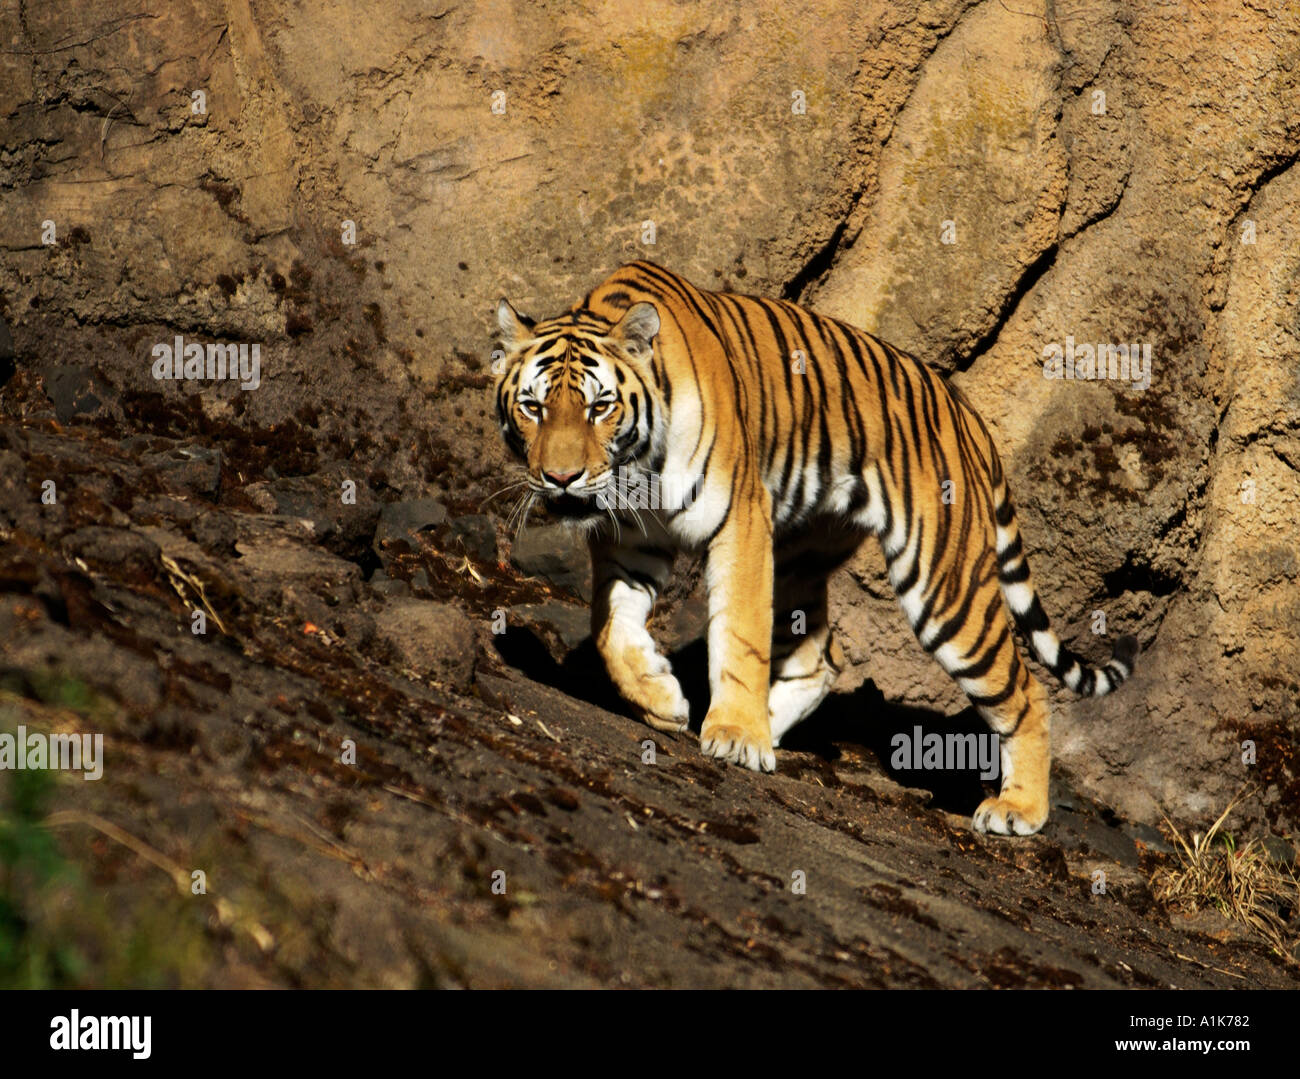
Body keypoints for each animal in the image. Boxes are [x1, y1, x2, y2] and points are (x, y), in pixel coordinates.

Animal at [492, 260, 1138, 836]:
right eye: (533, 407)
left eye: (600, 407)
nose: (562, 479)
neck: (636, 470)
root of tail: (969, 415)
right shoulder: (631, 542)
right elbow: (611, 629)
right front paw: (661, 699)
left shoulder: (740, 521)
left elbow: (740, 636)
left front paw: (735, 736)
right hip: (802, 556)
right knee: (822, 656)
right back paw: (766, 730)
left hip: (942, 586)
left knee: (1026, 692)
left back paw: (1017, 810)